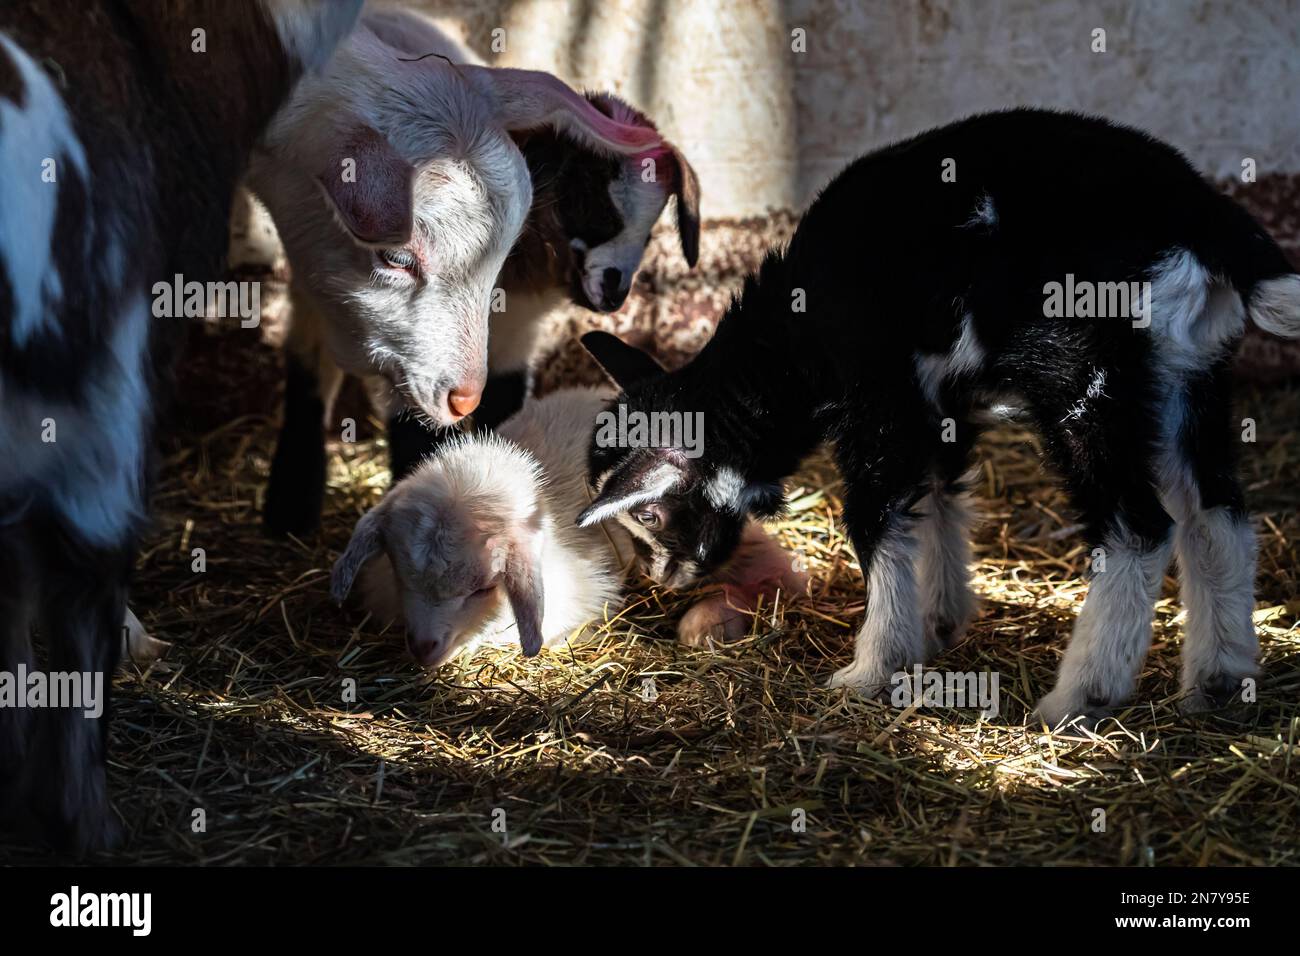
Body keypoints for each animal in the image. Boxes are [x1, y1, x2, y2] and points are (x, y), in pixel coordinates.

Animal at [575, 109, 1300, 729]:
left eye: (648, 511)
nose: (662, 580)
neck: (791, 348)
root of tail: (1198, 210)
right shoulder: (937, 408)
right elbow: (936, 503)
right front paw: (937, 621)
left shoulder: (877, 398)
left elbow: (875, 520)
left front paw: (874, 666)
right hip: (1188, 373)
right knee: (1216, 514)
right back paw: (1219, 683)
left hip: (1085, 377)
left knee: (1140, 525)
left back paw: (1082, 695)